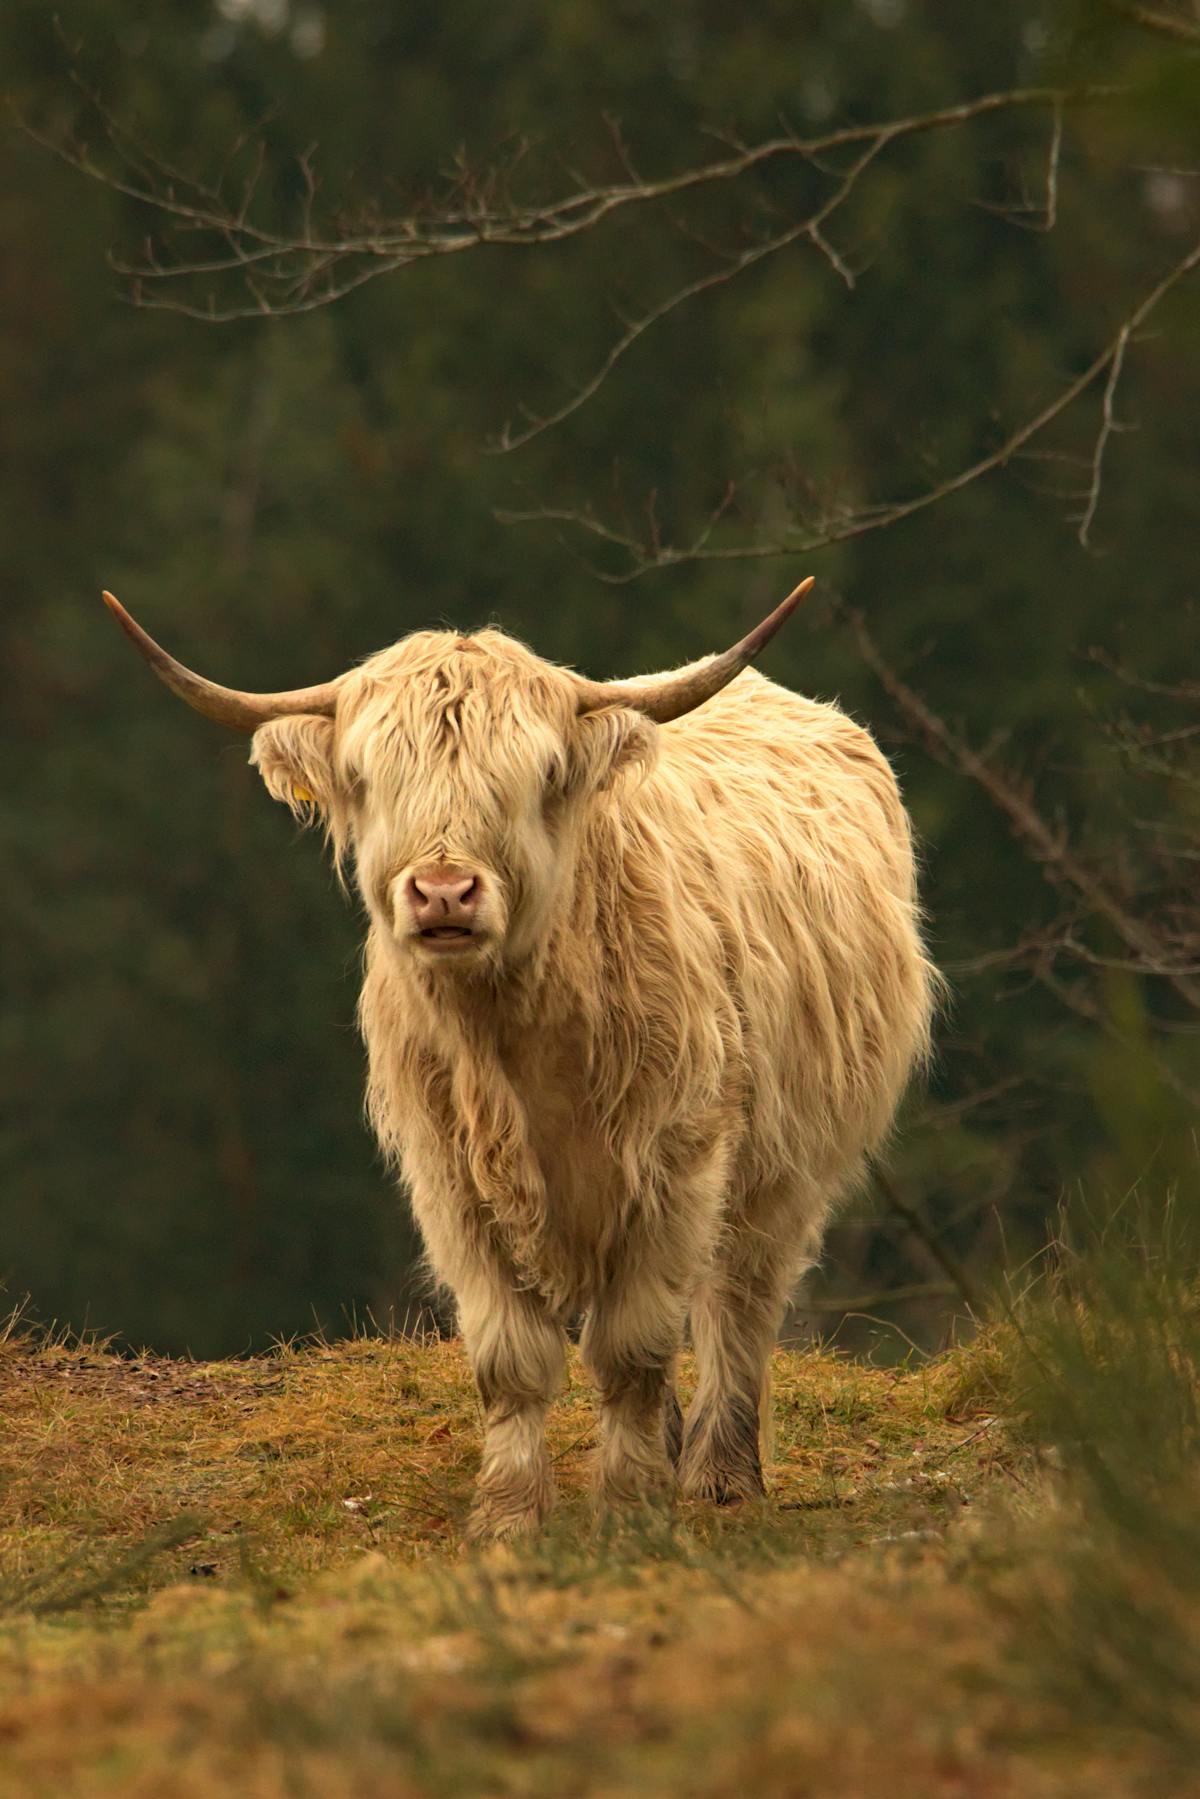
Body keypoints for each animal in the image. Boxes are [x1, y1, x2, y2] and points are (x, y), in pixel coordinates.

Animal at [103, 580, 935, 1539]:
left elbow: (634, 1345)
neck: (513, 1044)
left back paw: (721, 1473)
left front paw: (629, 1505)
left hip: (786, 1160)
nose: (443, 892)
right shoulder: (450, 1176)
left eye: (538, 774)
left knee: (740, 1300)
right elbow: (511, 1356)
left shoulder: (678, 1159)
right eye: (366, 776)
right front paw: (508, 1515)